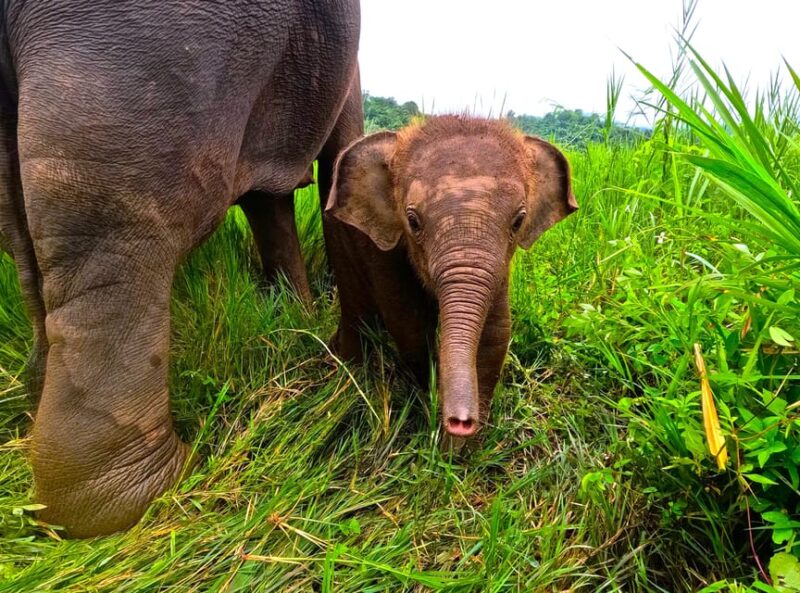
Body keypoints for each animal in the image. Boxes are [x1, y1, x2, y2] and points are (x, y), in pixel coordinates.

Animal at [325, 115, 578, 438]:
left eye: (519, 221)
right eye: (413, 221)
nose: (460, 422)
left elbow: (496, 334)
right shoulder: (382, 249)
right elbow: (409, 323)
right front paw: (427, 403)